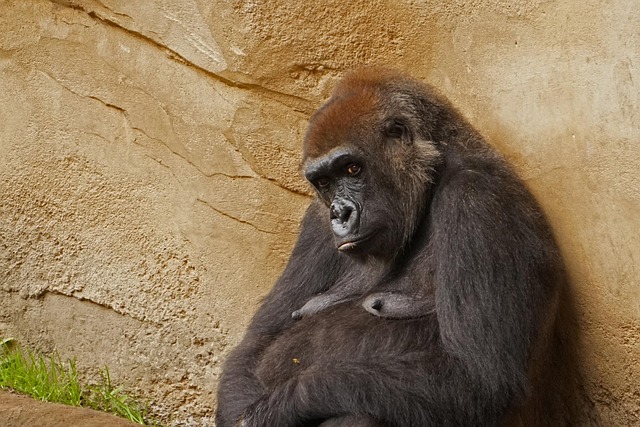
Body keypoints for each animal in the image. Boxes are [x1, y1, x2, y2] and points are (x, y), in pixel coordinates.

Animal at [215, 67, 565, 427]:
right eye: (324, 182)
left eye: (352, 168)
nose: (339, 214)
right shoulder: (316, 221)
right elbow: (254, 346)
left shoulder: (475, 198)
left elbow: (478, 377)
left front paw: (278, 406)